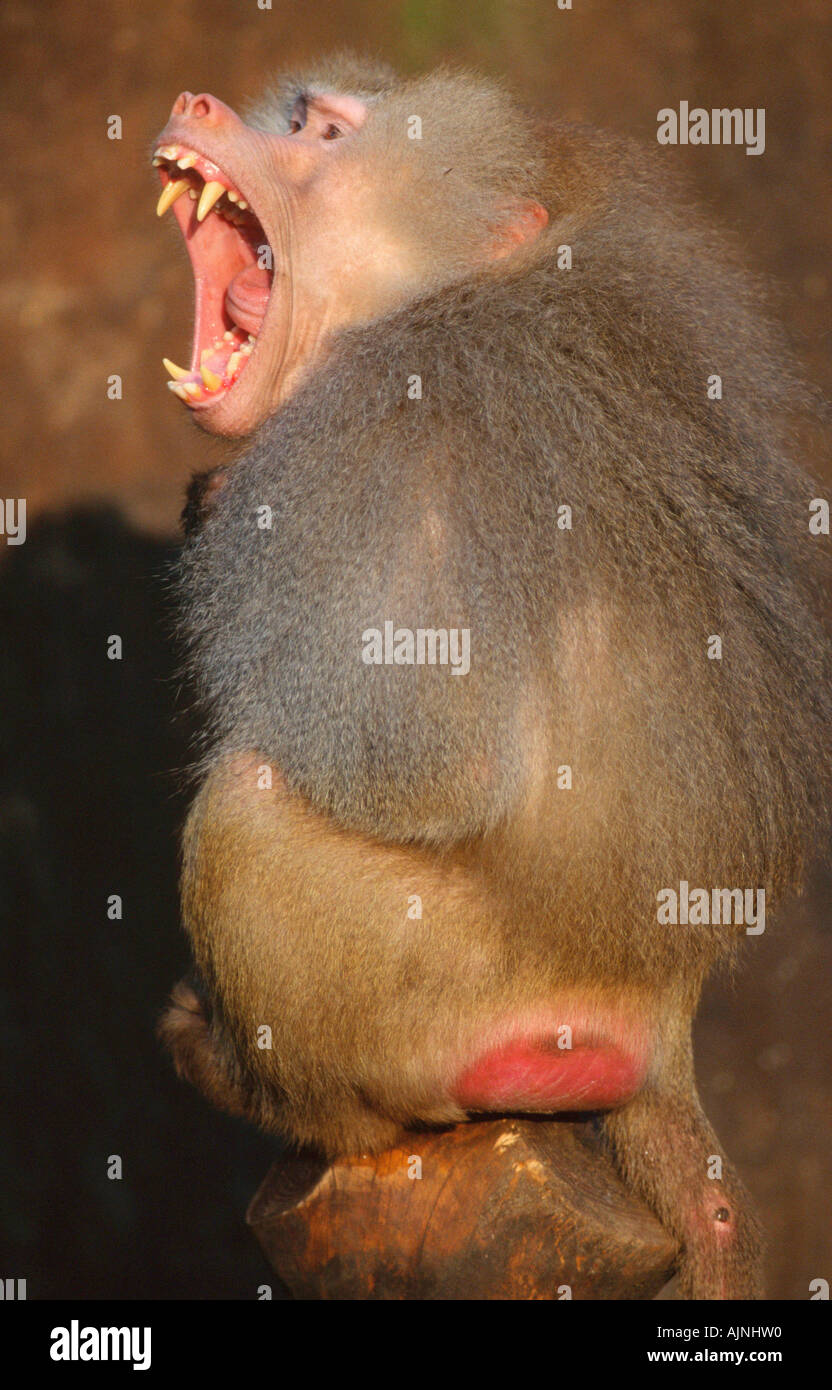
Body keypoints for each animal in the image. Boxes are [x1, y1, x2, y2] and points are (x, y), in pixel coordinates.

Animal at [153, 54, 832, 1300]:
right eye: (299, 114)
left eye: (325, 136)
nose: (199, 105)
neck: (451, 284)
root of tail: (666, 999)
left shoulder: (393, 441)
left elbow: (426, 768)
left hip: (467, 982)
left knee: (246, 811)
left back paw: (268, 1091)